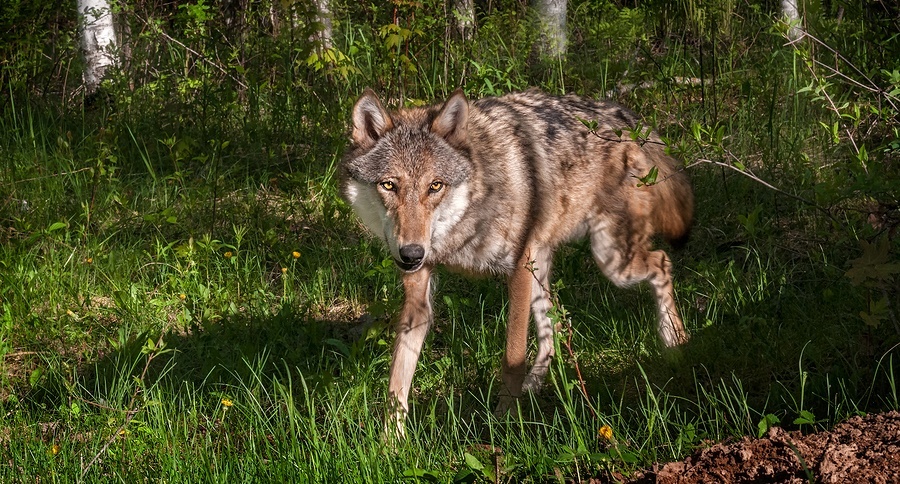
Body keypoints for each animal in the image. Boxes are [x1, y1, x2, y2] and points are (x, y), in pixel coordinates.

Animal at [341, 88, 693, 436]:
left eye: (435, 185)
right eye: (388, 185)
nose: (411, 254)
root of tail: (623, 116)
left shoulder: (517, 272)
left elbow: (511, 358)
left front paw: (505, 424)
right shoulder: (418, 296)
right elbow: (397, 380)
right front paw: (391, 442)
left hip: (611, 260)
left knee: (662, 261)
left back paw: (675, 345)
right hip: (544, 272)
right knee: (555, 328)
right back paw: (534, 387)